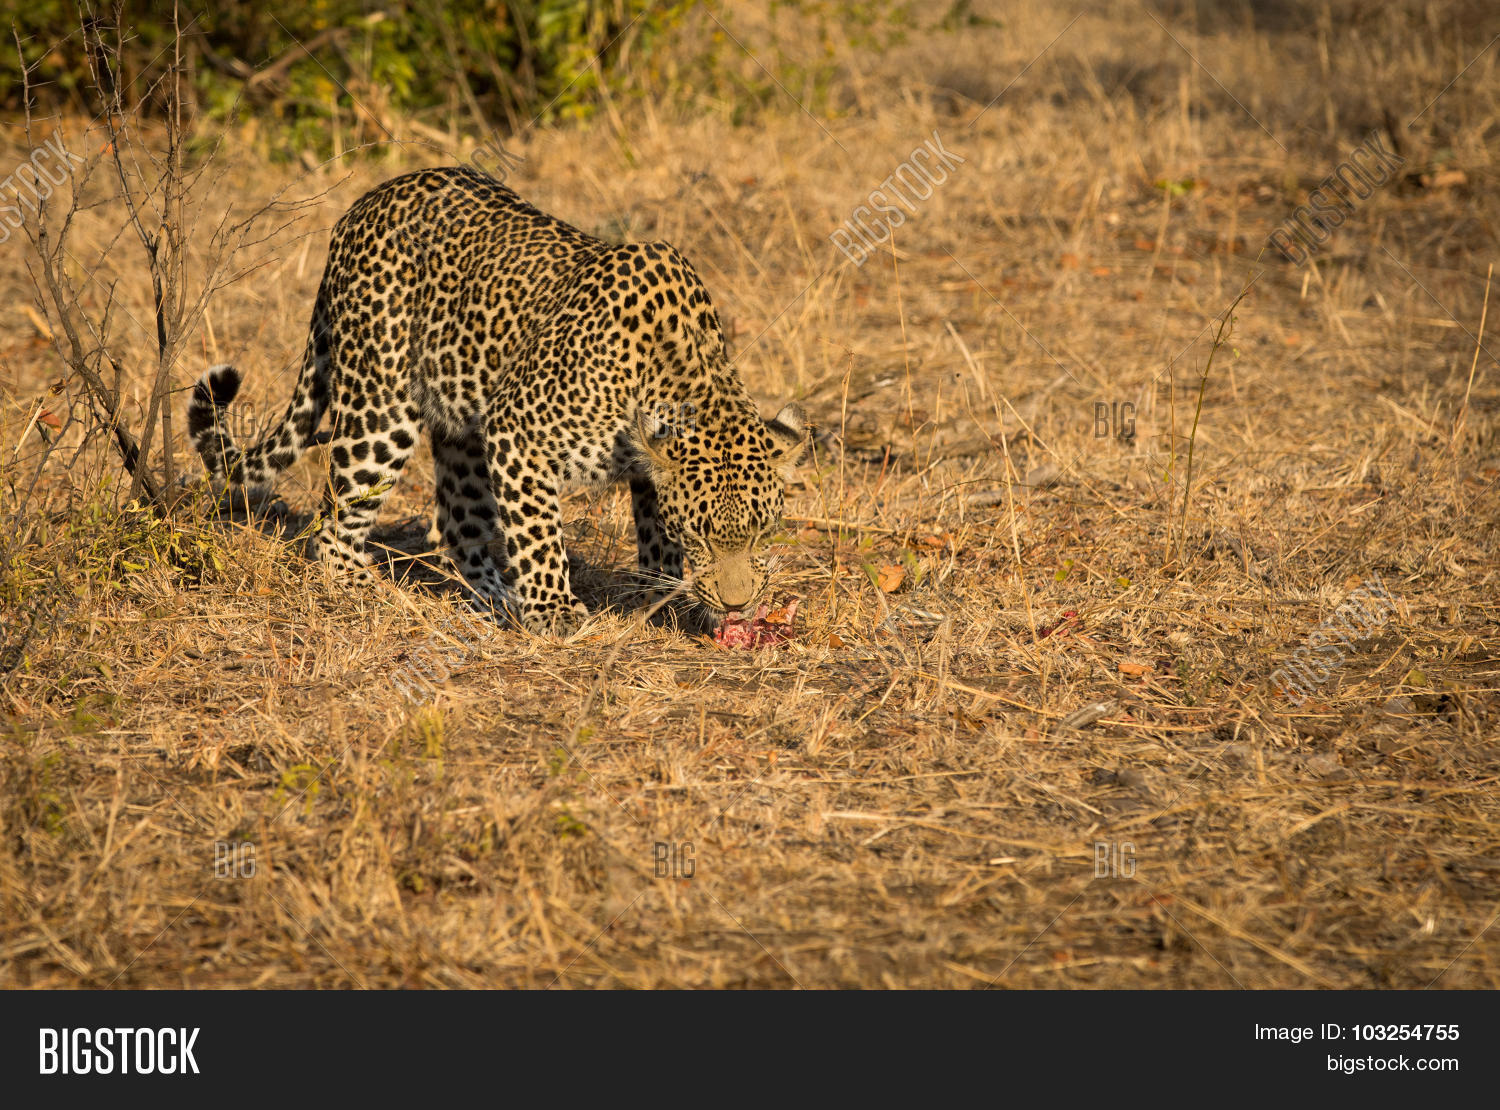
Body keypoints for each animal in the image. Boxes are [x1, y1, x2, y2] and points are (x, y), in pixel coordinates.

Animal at [187, 165, 806, 636]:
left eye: (761, 533)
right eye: (702, 535)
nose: (738, 604)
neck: (677, 372)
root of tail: (359, 207)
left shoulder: (643, 462)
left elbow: (654, 529)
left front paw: (667, 596)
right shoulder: (519, 433)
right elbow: (539, 534)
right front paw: (558, 612)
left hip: (461, 427)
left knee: (458, 524)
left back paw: (498, 600)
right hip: (380, 408)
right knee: (334, 525)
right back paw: (373, 591)